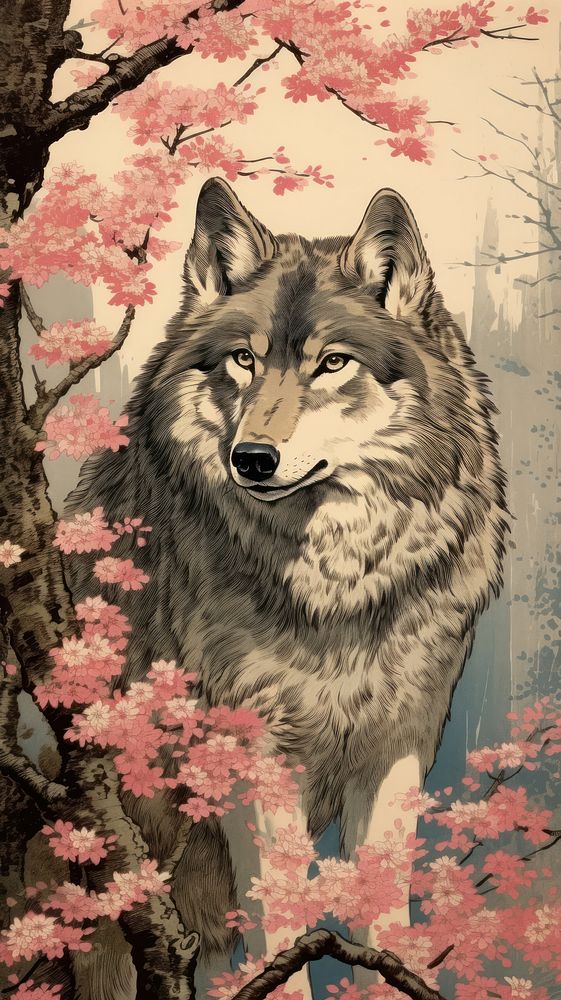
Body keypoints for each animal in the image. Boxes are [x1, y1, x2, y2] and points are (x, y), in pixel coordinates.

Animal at [66, 177, 508, 998]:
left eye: (331, 363)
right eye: (243, 359)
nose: (252, 459)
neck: (338, 591)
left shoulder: (398, 746)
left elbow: (381, 906)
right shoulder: (253, 754)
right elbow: (282, 912)